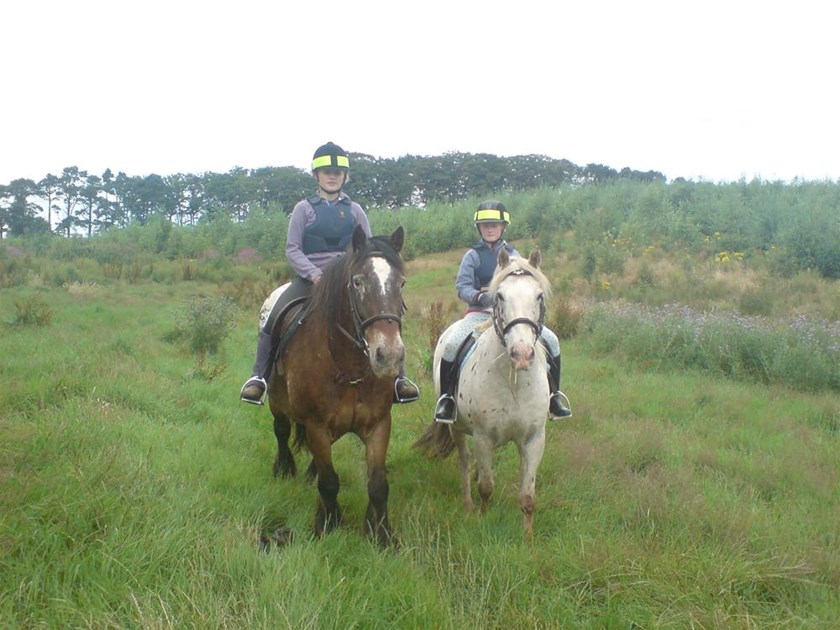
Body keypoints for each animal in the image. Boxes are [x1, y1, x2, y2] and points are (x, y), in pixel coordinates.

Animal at [266, 225, 408, 546]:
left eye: (401, 282)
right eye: (357, 282)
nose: (389, 355)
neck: (349, 368)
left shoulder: (379, 424)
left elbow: (378, 484)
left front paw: (382, 534)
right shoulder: (317, 425)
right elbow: (330, 482)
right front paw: (328, 525)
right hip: (276, 402)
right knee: (281, 431)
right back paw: (284, 468)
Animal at [414, 248, 551, 535]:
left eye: (539, 295)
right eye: (499, 296)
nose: (522, 354)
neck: (513, 382)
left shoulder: (534, 439)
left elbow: (528, 496)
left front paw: (528, 537)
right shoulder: (482, 437)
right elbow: (486, 486)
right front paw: (483, 517)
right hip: (457, 430)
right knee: (465, 463)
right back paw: (467, 503)